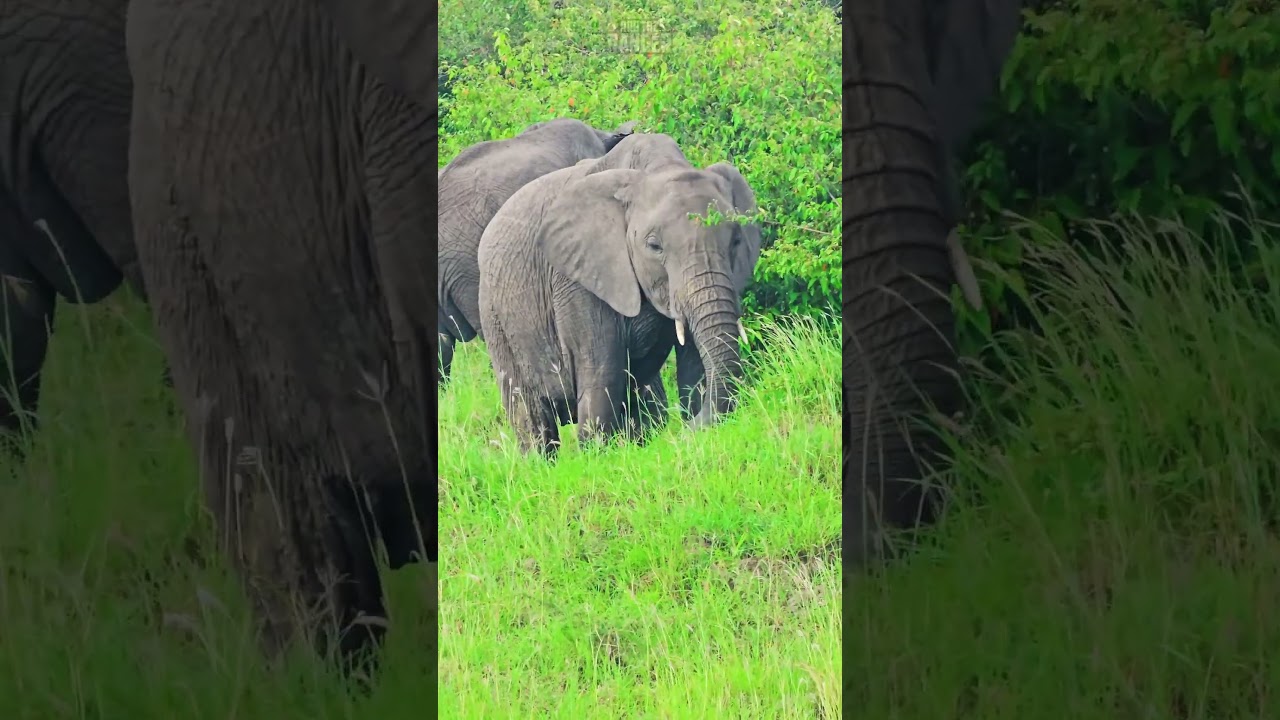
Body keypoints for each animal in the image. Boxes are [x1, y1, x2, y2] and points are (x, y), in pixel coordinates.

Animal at [478, 135, 761, 456]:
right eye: (654, 246)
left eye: (736, 239)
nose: (688, 429)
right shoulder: (576, 278)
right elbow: (603, 370)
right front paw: (595, 456)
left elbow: (694, 362)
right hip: (494, 316)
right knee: (530, 414)